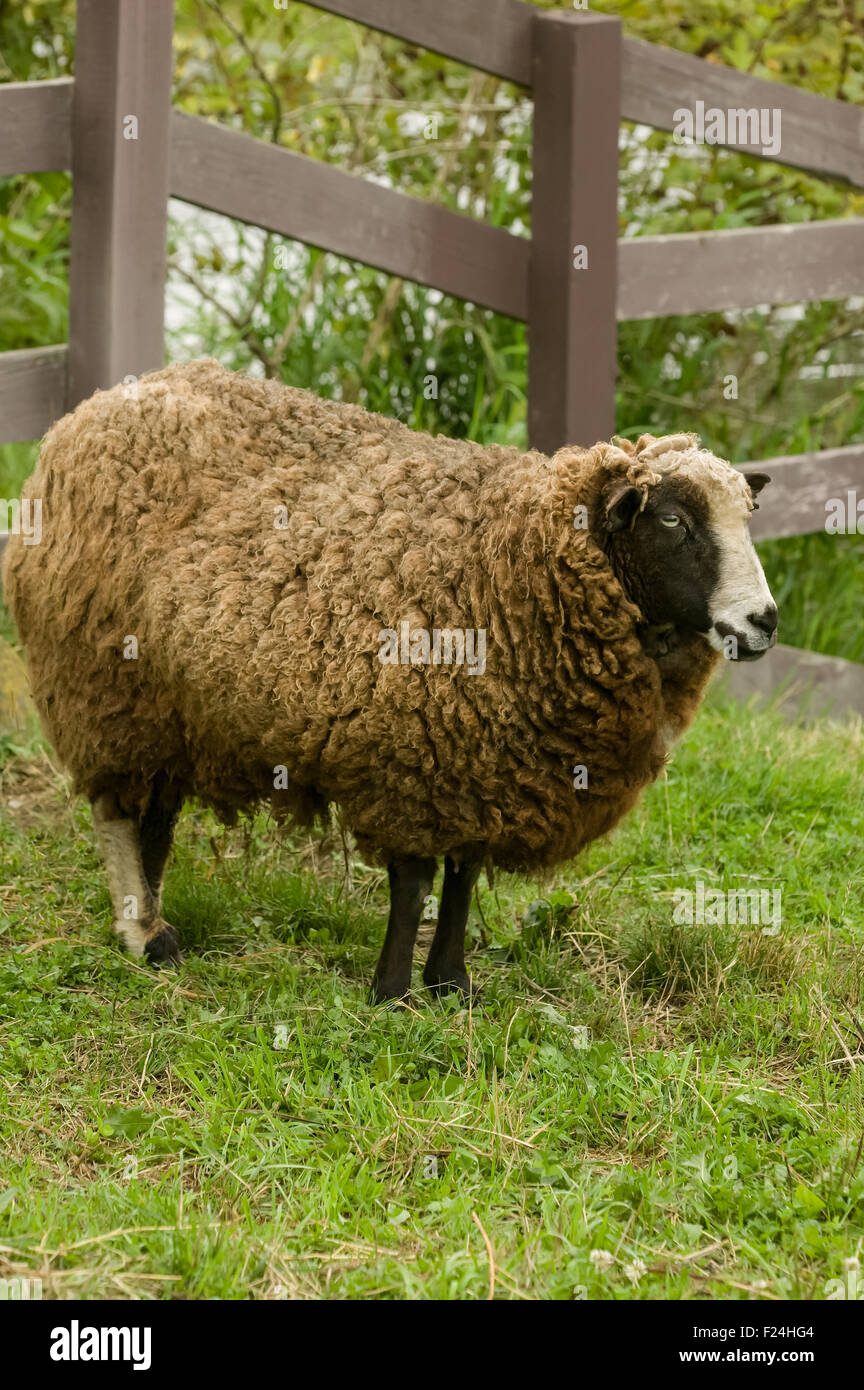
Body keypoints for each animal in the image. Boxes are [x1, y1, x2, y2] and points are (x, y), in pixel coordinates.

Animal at [2, 359, 777, 1003]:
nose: (764, 620)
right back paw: (140, 936)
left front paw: (452, 985)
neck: (512, 561)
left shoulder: (488, 769)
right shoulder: (411, 761)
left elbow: (462, 880)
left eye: (748, 518)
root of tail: (102, 401)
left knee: (155, 816)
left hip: (171, 708)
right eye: (673, 520)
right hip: (105, 685)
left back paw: (156, 925)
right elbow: (413, 886)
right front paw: (392, 993)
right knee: (118, 814)